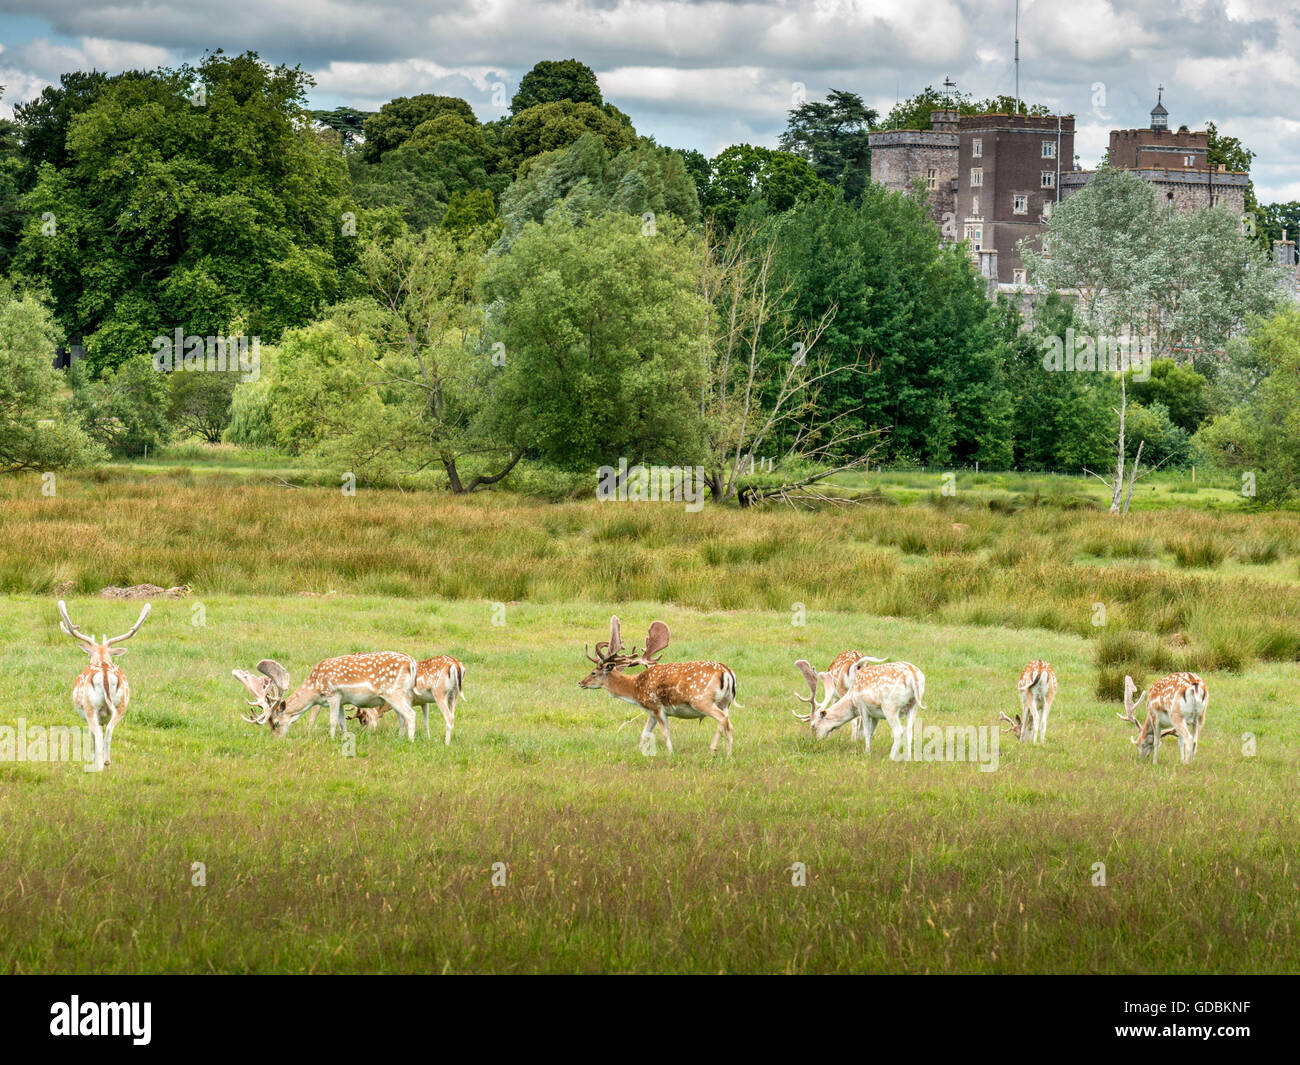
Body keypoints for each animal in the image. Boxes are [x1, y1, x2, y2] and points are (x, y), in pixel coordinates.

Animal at [56, 600, 151, 772]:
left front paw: (92, 758)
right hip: (121, 705)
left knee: (99, 736)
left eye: (88, 654)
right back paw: (107, 763)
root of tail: (106, 673)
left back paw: (97, 765)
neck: (102, 658)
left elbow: (92, 737)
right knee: (109, 733)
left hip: (90, 707)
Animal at [234, 652, 420, 741]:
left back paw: (409, 740)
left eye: (277, 723)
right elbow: (342, 723)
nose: (275, 738)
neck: (314, 688)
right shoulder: (343, 701)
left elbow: (332, 721)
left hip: (394, 693)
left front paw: (331, 739)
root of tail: (412, 663)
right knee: (402, 718)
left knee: (410, 714)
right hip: (397, 697)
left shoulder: (333, 695)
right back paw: (399, 738)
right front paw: (345, 738)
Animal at [579, 616, 739, 756]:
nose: (581, 683)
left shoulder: (656, 707)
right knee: (729, 725)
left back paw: (713, 749)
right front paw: (639, 751)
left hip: (701, 700)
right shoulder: (650, 712)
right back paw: (729, 755)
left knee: (722, 718)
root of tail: (727, 672)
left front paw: (670, 753)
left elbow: (665, 732)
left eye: (593, 672)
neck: (635, 689)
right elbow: (644, 733)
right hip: (725, 702)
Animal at [794, 658, 925, 760]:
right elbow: (871, 732)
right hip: (913, 706)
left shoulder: (863, 707)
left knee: (898, 731)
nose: (815, 741)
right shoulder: (876, 715)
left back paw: (891, 757)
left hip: (890, 706)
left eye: (813, 726)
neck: (852, 699)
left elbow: (866, 731)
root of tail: (913, 675)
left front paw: (867, 753)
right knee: (910, 731)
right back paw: (908, 758)